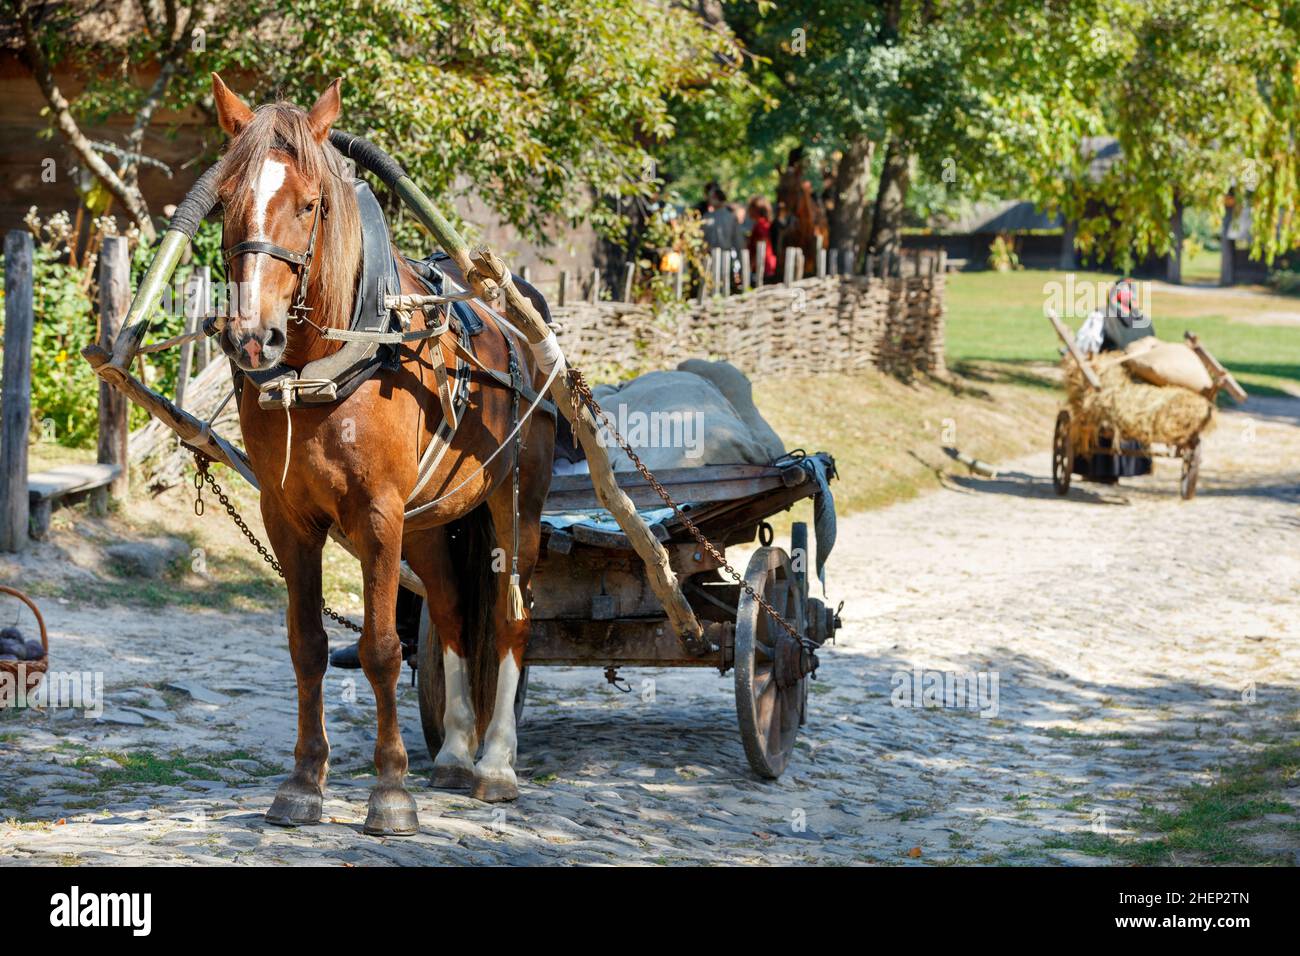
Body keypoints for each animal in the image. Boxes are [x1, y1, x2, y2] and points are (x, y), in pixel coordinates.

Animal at [209, 73, 556, 835]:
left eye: (310, 203)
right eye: (224, 200)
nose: (253, 337)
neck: (332, 364)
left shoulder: (376, 513)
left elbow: (381, 649)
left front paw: (390, 791)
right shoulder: (288, 516)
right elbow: (308, 645)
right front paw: (305, 781)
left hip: (514, 501)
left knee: (509, 615)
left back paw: (495, 763)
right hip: (427, 519)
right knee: (452, 610)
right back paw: (454, 752)